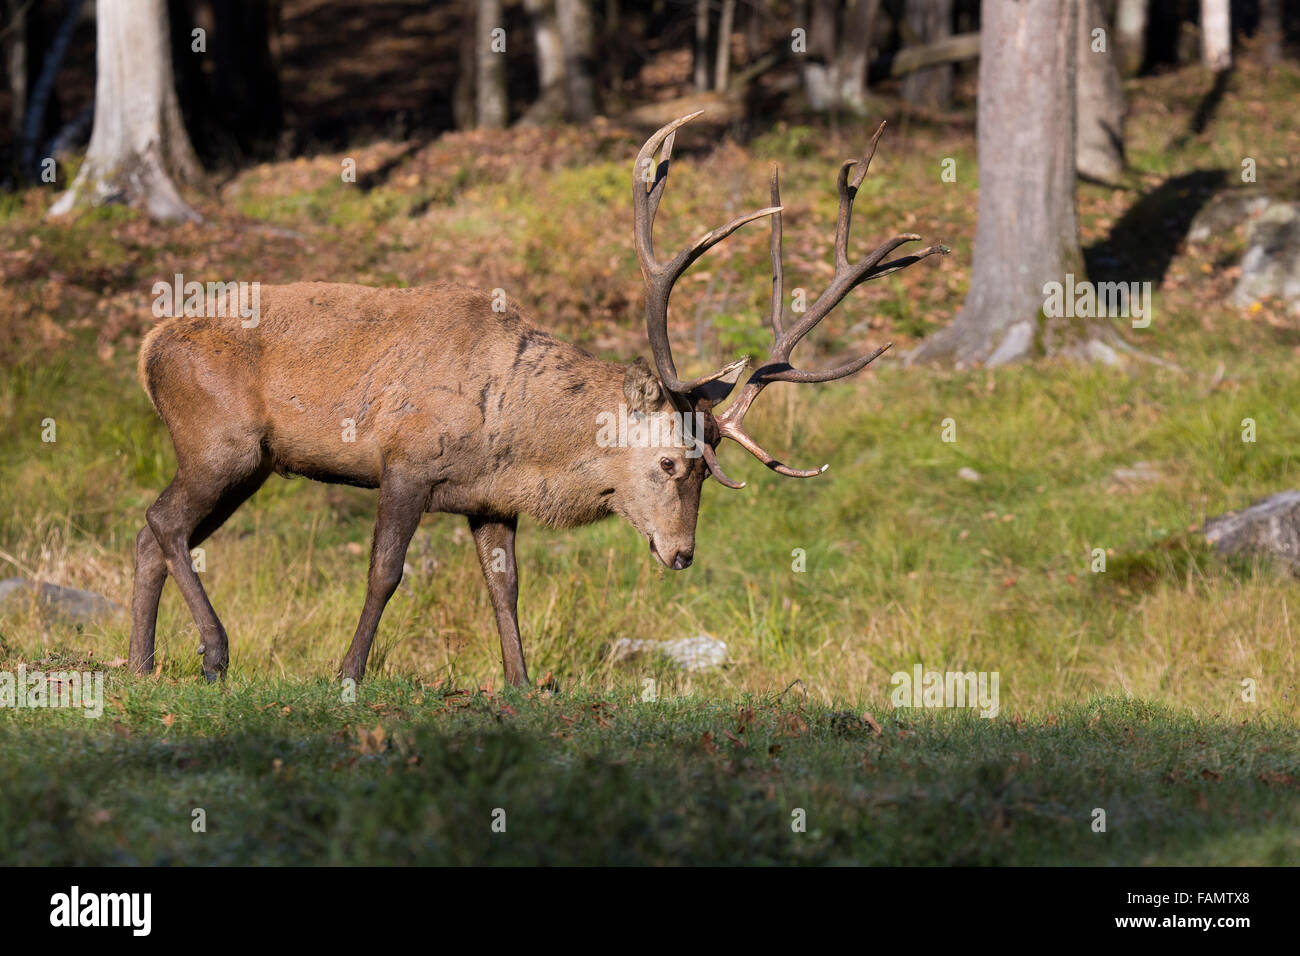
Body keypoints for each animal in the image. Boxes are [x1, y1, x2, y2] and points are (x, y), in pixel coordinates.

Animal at [129, 112, 946, 687]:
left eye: (711, 472)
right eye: (673, 464)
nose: (681, 554)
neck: (519, 440)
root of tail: (147, 347)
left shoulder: (490, 500)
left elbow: (506, 588)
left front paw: (521, 683)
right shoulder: (406, 462)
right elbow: (386, 572)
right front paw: (349, 673)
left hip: (250, 462)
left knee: (157, 532)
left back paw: (140, 662)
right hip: (223, 441)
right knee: (165, 522)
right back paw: (213, 653)